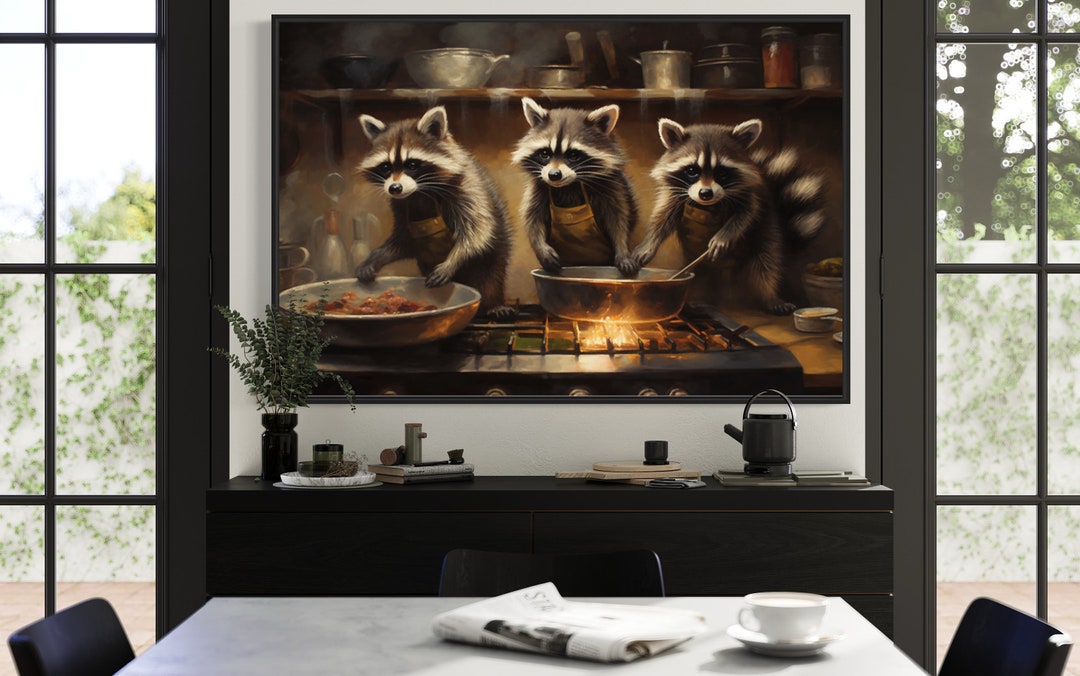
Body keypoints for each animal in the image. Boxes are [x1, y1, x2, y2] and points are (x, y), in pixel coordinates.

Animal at [354, 106, 513, 318]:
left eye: (412, 164)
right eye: (386, 166)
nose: (395, 188)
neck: (420, 191)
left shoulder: (467, 190)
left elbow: (478, 231)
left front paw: (453, 260)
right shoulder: (401, 207)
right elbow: (401, 241)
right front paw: (375, 257)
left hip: (495, 255)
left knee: (490, 277)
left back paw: (493, 303)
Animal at [511, 97, 639, 277]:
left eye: (573, 155)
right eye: (545, 154)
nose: (554, 175)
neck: (569, 185)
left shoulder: (610, 186)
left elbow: (618, 218)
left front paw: (622, 250)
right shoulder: (539, 187)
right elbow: (533, 218)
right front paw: (542, 248)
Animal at [632, 118, 826, 315]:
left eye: (721, 172)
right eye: (692, 170)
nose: (705, 193)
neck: (707, 206)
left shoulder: (750, 195)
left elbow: (745, 215)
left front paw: (724, 236)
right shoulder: (675, 194)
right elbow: (663, 218)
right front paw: (649, 244)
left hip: (766, 231)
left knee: (766, 263)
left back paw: (769, 296)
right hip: (694, 256)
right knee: (702, 273)